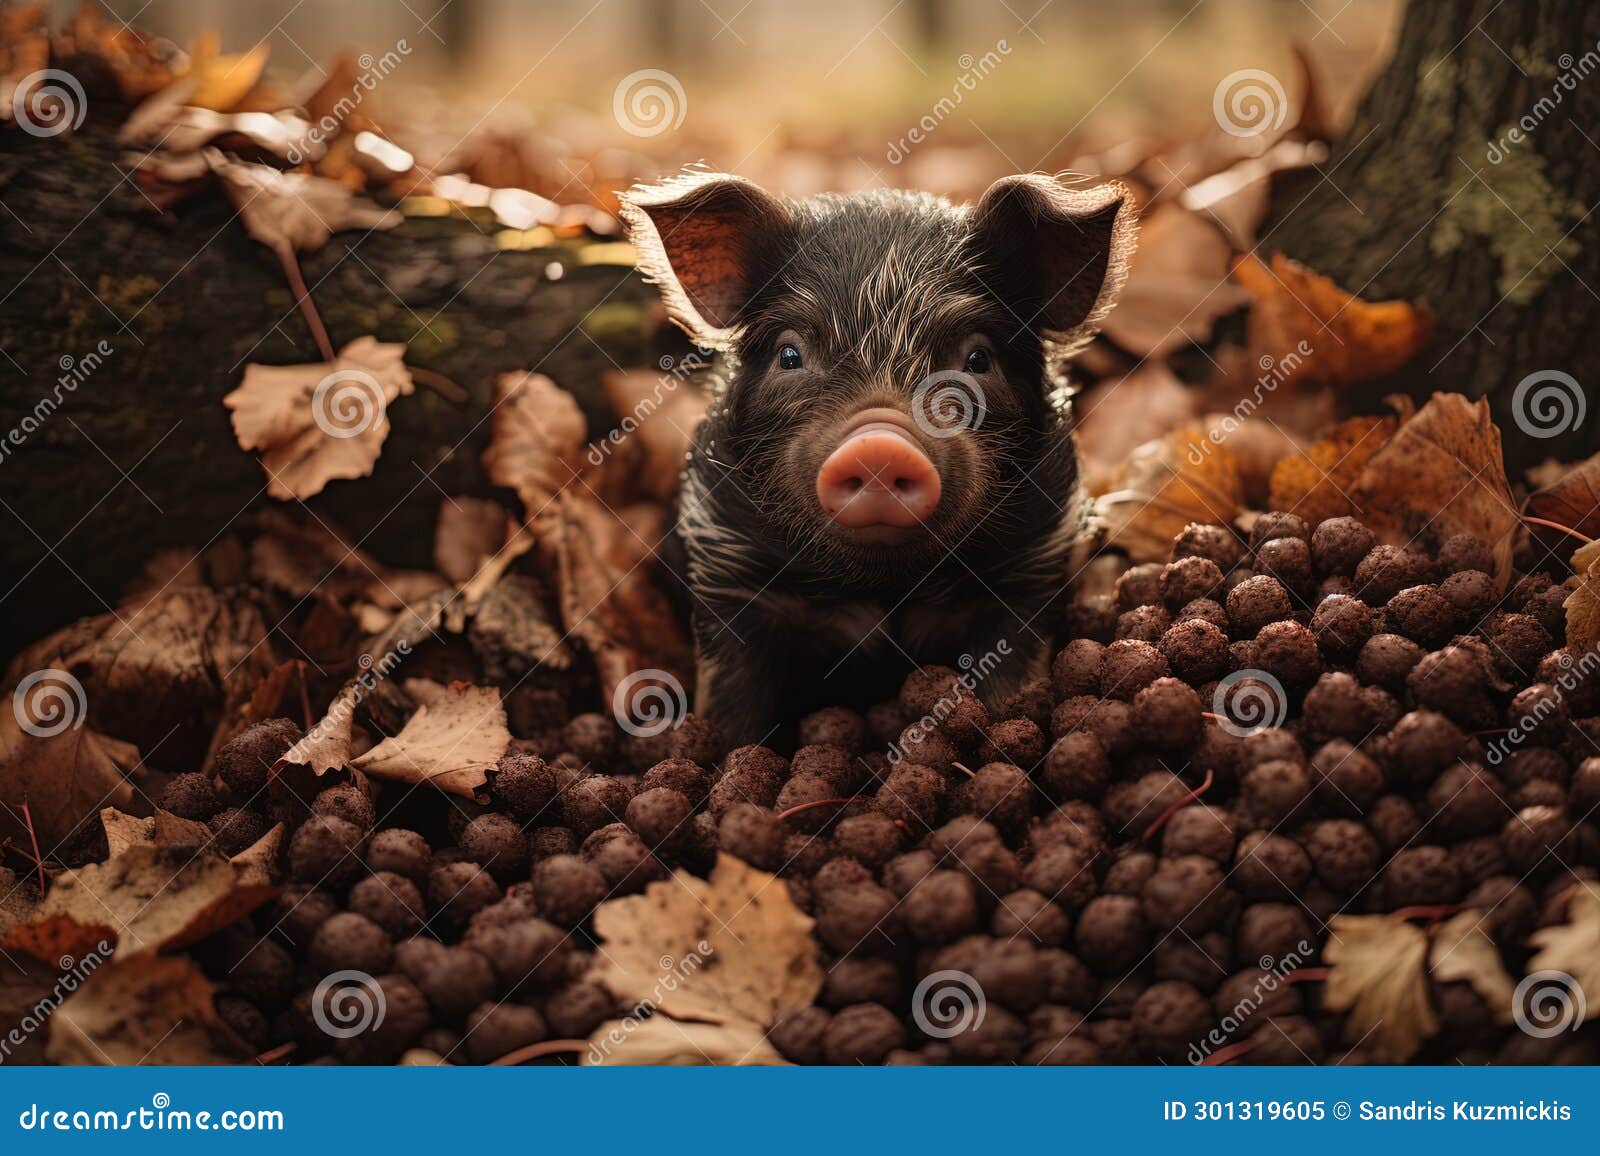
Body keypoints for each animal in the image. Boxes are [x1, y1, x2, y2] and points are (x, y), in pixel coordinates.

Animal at [620, 170, 1136, 745]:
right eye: (789, 355)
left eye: (978, 359)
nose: (880, 444)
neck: (883, 589)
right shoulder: (723, 564)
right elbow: (731, 702)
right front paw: (727, 750)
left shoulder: (1033, 566)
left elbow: (1011, 681)